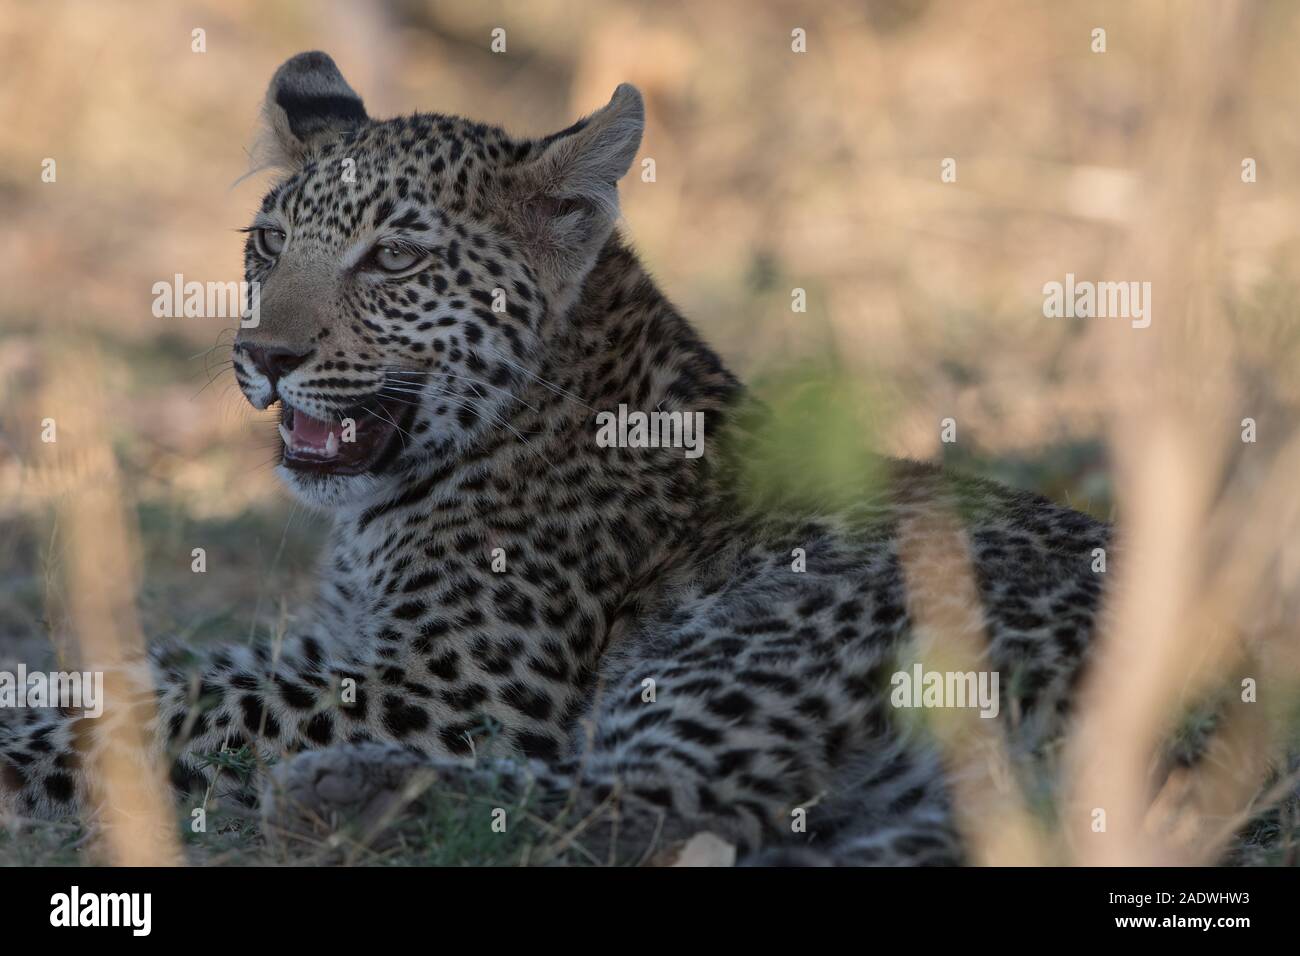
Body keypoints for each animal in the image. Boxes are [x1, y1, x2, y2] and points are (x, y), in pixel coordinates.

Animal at [0, 51, 1121, 865]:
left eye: (394, 258)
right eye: (269, 244)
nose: (263, 356)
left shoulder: (464, 682)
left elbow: (191, 706)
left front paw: (19, 760)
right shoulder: (338, 637)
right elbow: (161, 668)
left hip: (770, 631)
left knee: (664, 810)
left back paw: (340, 790)